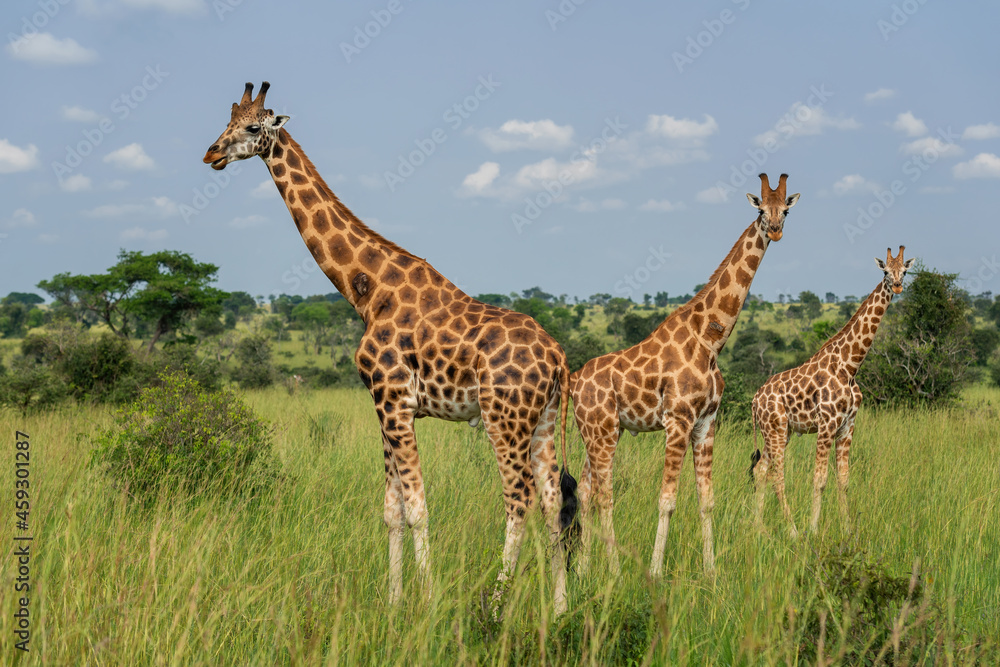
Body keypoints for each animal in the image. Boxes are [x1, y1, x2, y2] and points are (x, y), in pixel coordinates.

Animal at [203, 82, 577, 614]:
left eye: (253, 127)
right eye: (226, 123)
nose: (212, 153)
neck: (366, 289)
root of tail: (559, 357)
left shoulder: (394, 399)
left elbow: (418, 507)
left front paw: (429, 601)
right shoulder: (383, 405)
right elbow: (391, 510)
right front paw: (395, 601)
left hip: (504, 418)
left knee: (518, 496)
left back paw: (497, 600)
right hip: (541, 419)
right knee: (550, 499)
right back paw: (562, 608)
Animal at [572, 173, 799, 577]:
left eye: (785, 210)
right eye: (760, 208)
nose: (774, 230)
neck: (710, 340)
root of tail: (572, 383)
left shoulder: (706, 422)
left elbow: (706, 500)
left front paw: (711, 571)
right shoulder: (677, 419)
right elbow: (667, 500)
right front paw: (655, 571)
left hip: (598, 430)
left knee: (585, 490)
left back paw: (584, 570)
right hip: (603, 432)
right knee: (603, 494)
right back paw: (615, 570)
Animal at [750, 246, 914, 537]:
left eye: (904, 271)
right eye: (885, 271)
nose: (896, 286)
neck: (850, 367)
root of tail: (755, 399)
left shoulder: (848, 426)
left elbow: (844, 480)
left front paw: (848, 529)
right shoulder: (826, 425)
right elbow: (819, 479)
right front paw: (813, 529)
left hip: (780, 432)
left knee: (761, 470)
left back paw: (760, 529)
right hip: (775, 429)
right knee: (777, 476)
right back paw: (792, 530)